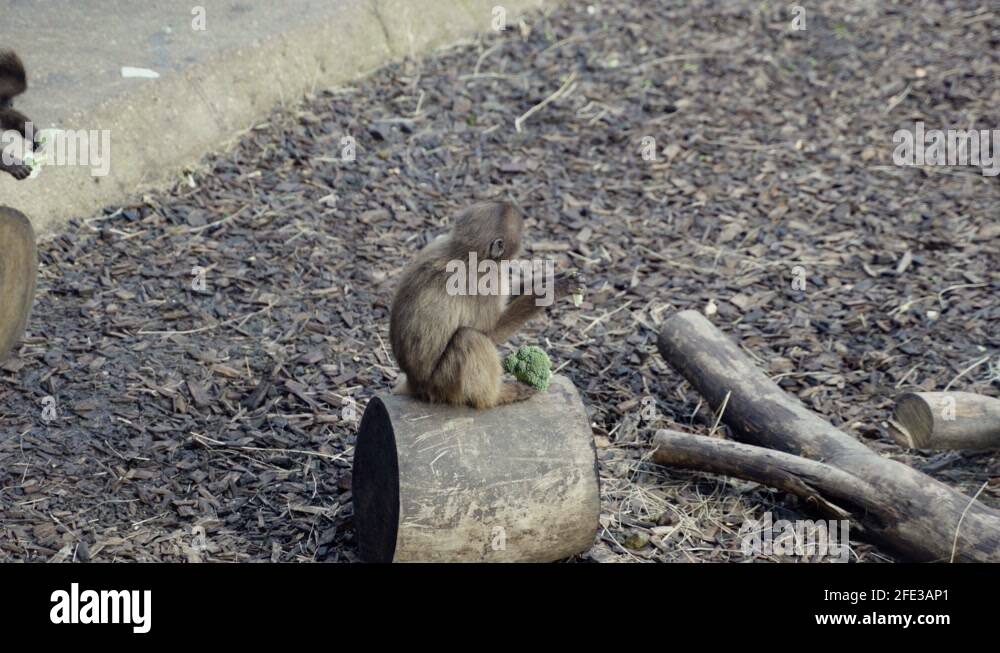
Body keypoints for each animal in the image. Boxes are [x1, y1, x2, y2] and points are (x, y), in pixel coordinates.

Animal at [0, 49, 39, 181]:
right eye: (5, 96)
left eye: (10, 96)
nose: (11, 103)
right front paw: (12, 164)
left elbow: (4, 116)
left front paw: (32, 132)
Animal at [389, 201, 582, 410]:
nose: (524, 244)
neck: (464, 253)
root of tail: (415, 383)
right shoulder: (485, 280)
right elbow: (491, 332)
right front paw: (556, 289)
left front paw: (552, 278)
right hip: (443, 385)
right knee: (469, 338)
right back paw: (495, 397)